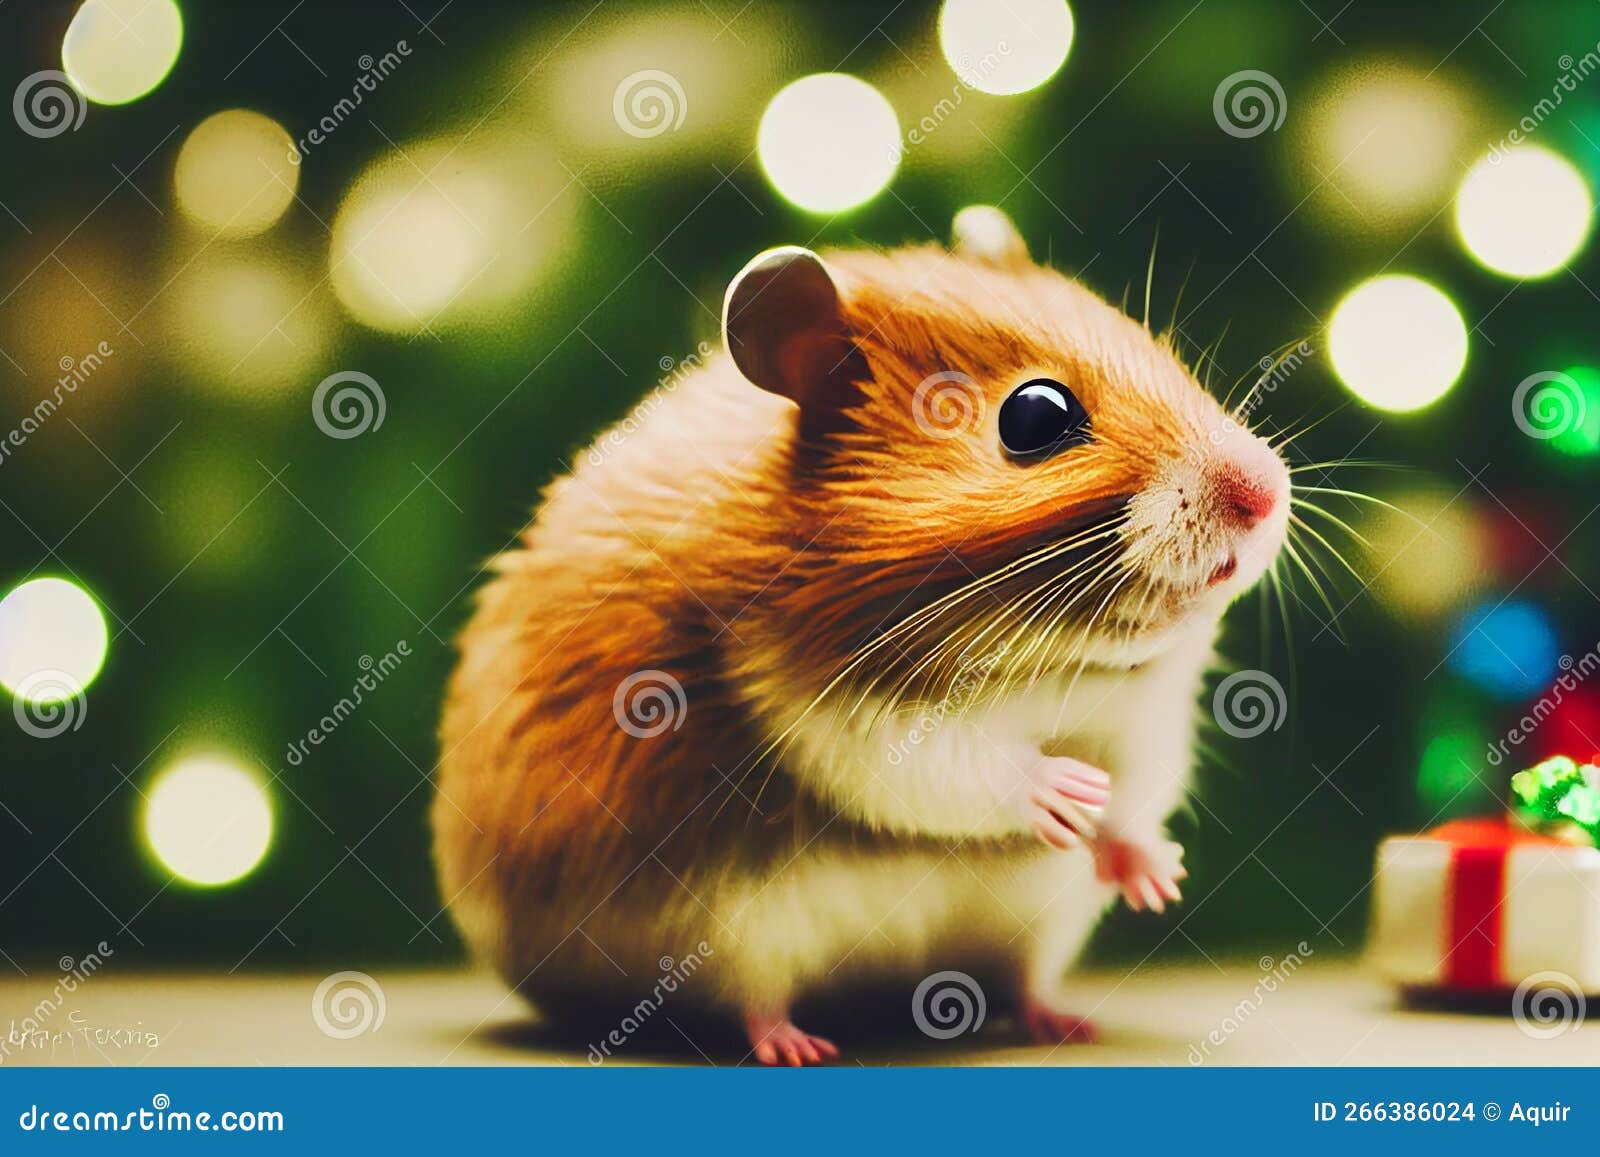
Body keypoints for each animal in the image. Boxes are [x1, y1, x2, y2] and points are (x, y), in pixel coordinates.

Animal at [432, 206, 1291, 1065]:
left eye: (1155, 349)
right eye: (1035, 417)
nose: (1267, 493)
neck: (1049, 667)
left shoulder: (1142, 730)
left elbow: (1130, 805)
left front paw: (1159, 874)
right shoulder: (836, 712)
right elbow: (964, 768)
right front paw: (1066, 791)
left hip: (1035, 925)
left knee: (1021, 979)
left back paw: (1063, 1020)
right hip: (728, 935)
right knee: (752, 999)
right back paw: (797, 1046)